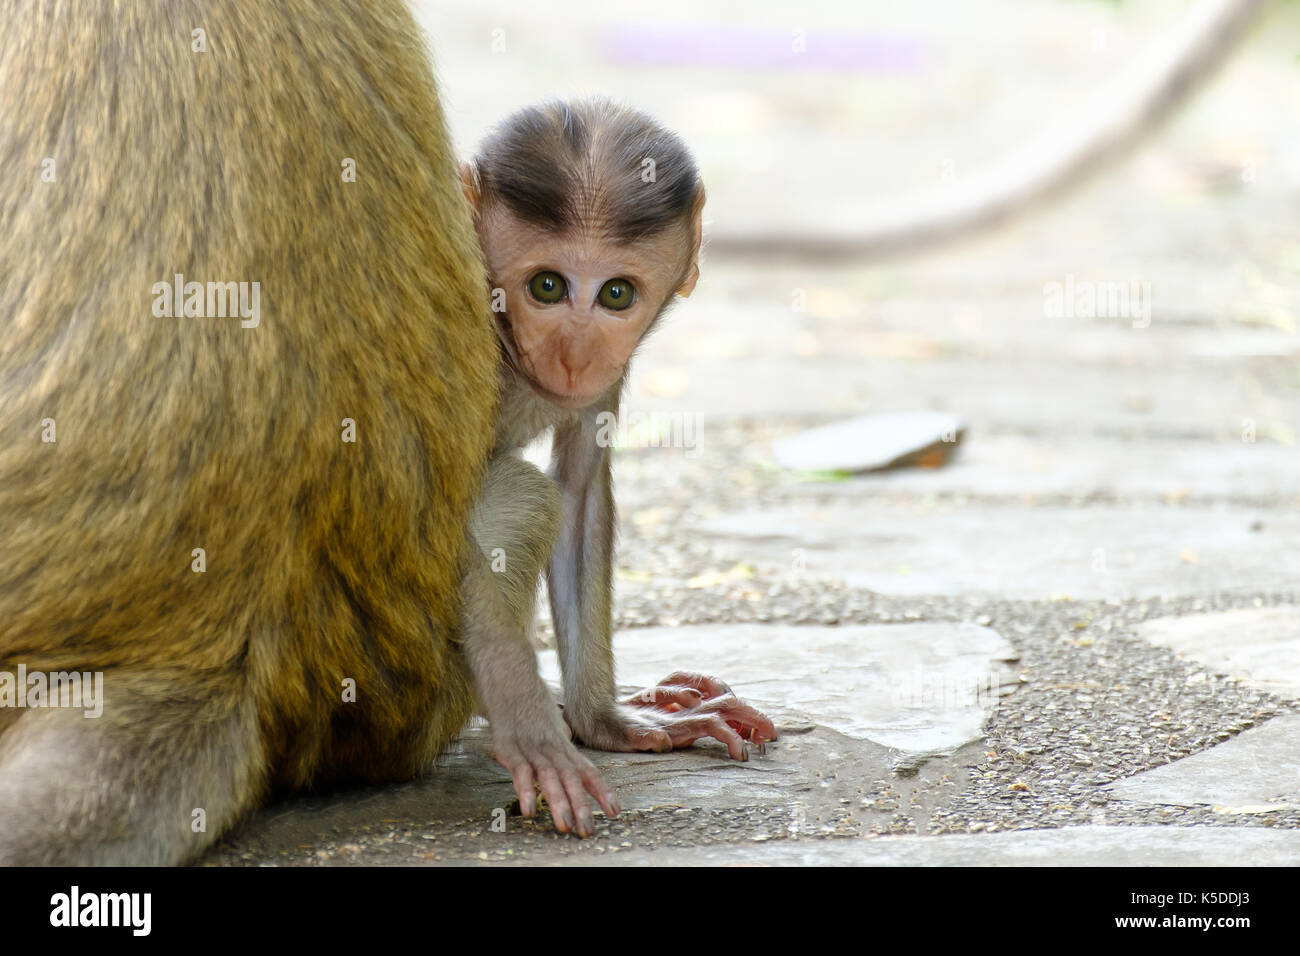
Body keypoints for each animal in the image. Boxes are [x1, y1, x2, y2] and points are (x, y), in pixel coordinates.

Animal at [456, 99, 777, 837]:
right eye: (547, 286)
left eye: (616, 295)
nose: (576, 356)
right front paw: (522, 712)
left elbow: (578, 492)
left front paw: (605, 722)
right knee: (517, 493)